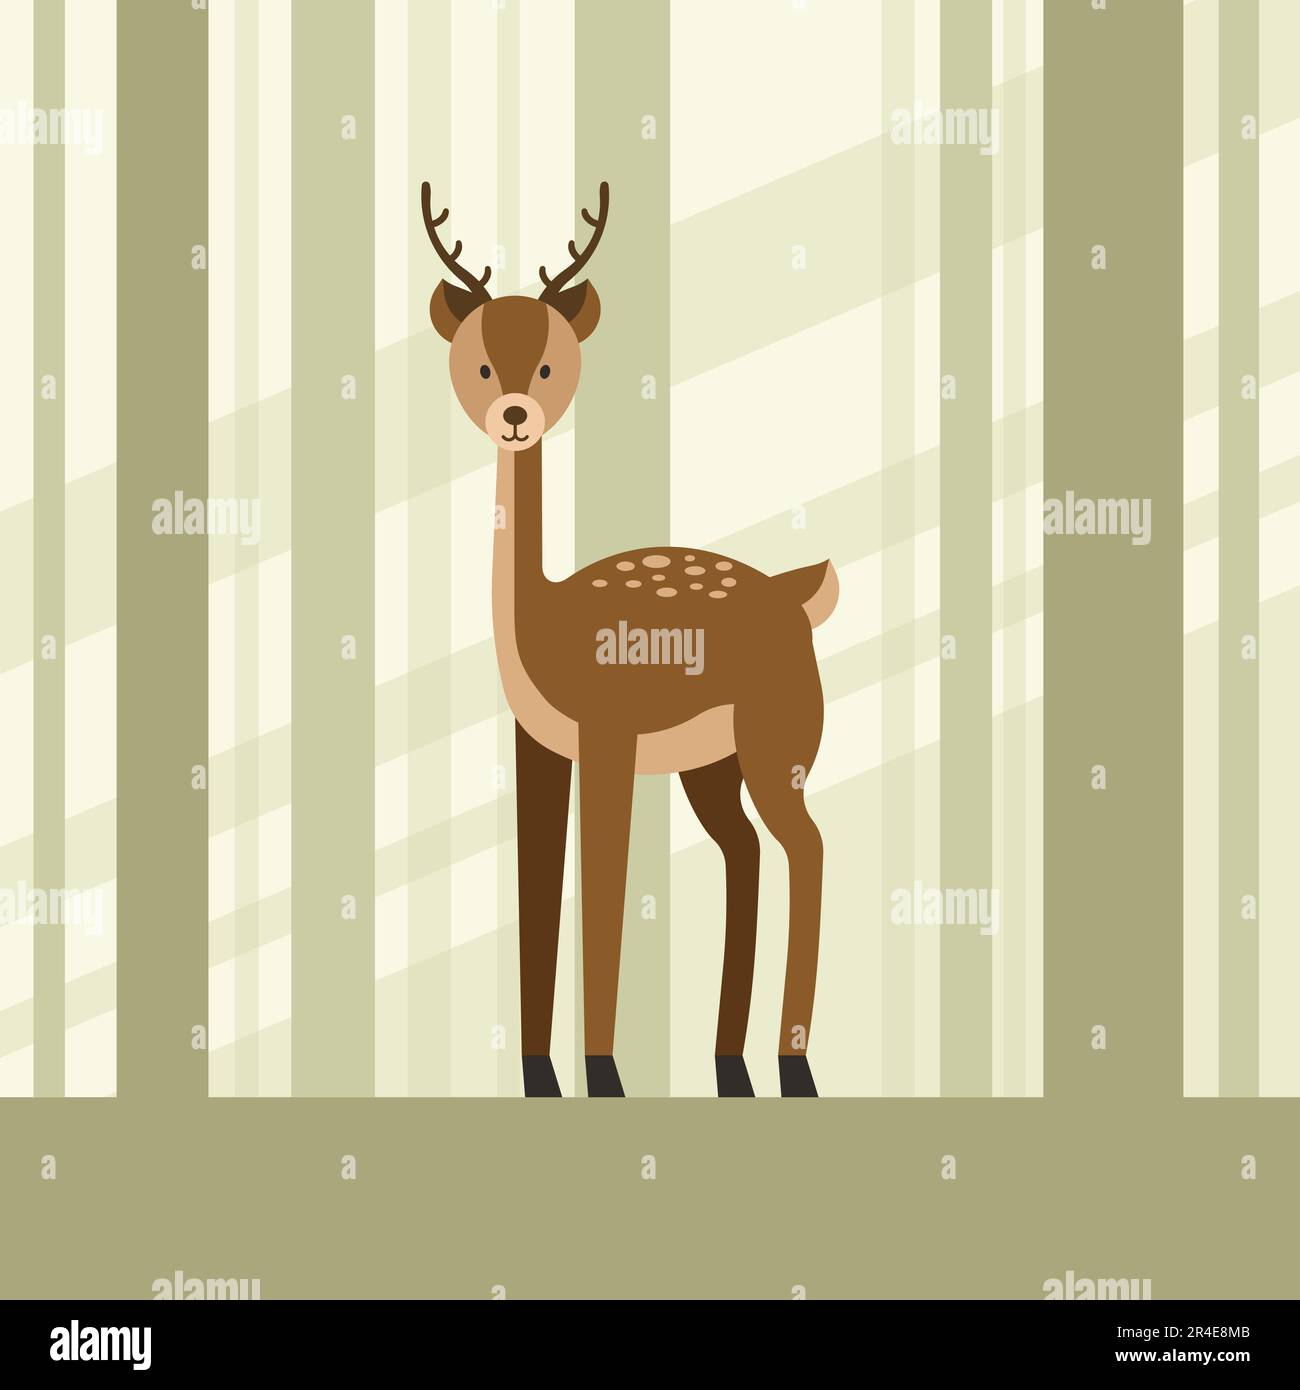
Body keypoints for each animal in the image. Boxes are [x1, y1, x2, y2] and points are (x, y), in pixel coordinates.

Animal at [423, 180, 839, 1098]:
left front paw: (604, 1075)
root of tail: (804, 592)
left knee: (809, 847)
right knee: (746, 853)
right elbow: (538, 889)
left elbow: (603, 889)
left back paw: (793, 1067)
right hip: (713, 763)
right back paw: (728, 1067)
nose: (515, 415)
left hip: (780, 742)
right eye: (478, 363)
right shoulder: (539, 744)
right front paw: (539, 1077)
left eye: (550, 365)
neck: (543, 632)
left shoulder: (608, 737)